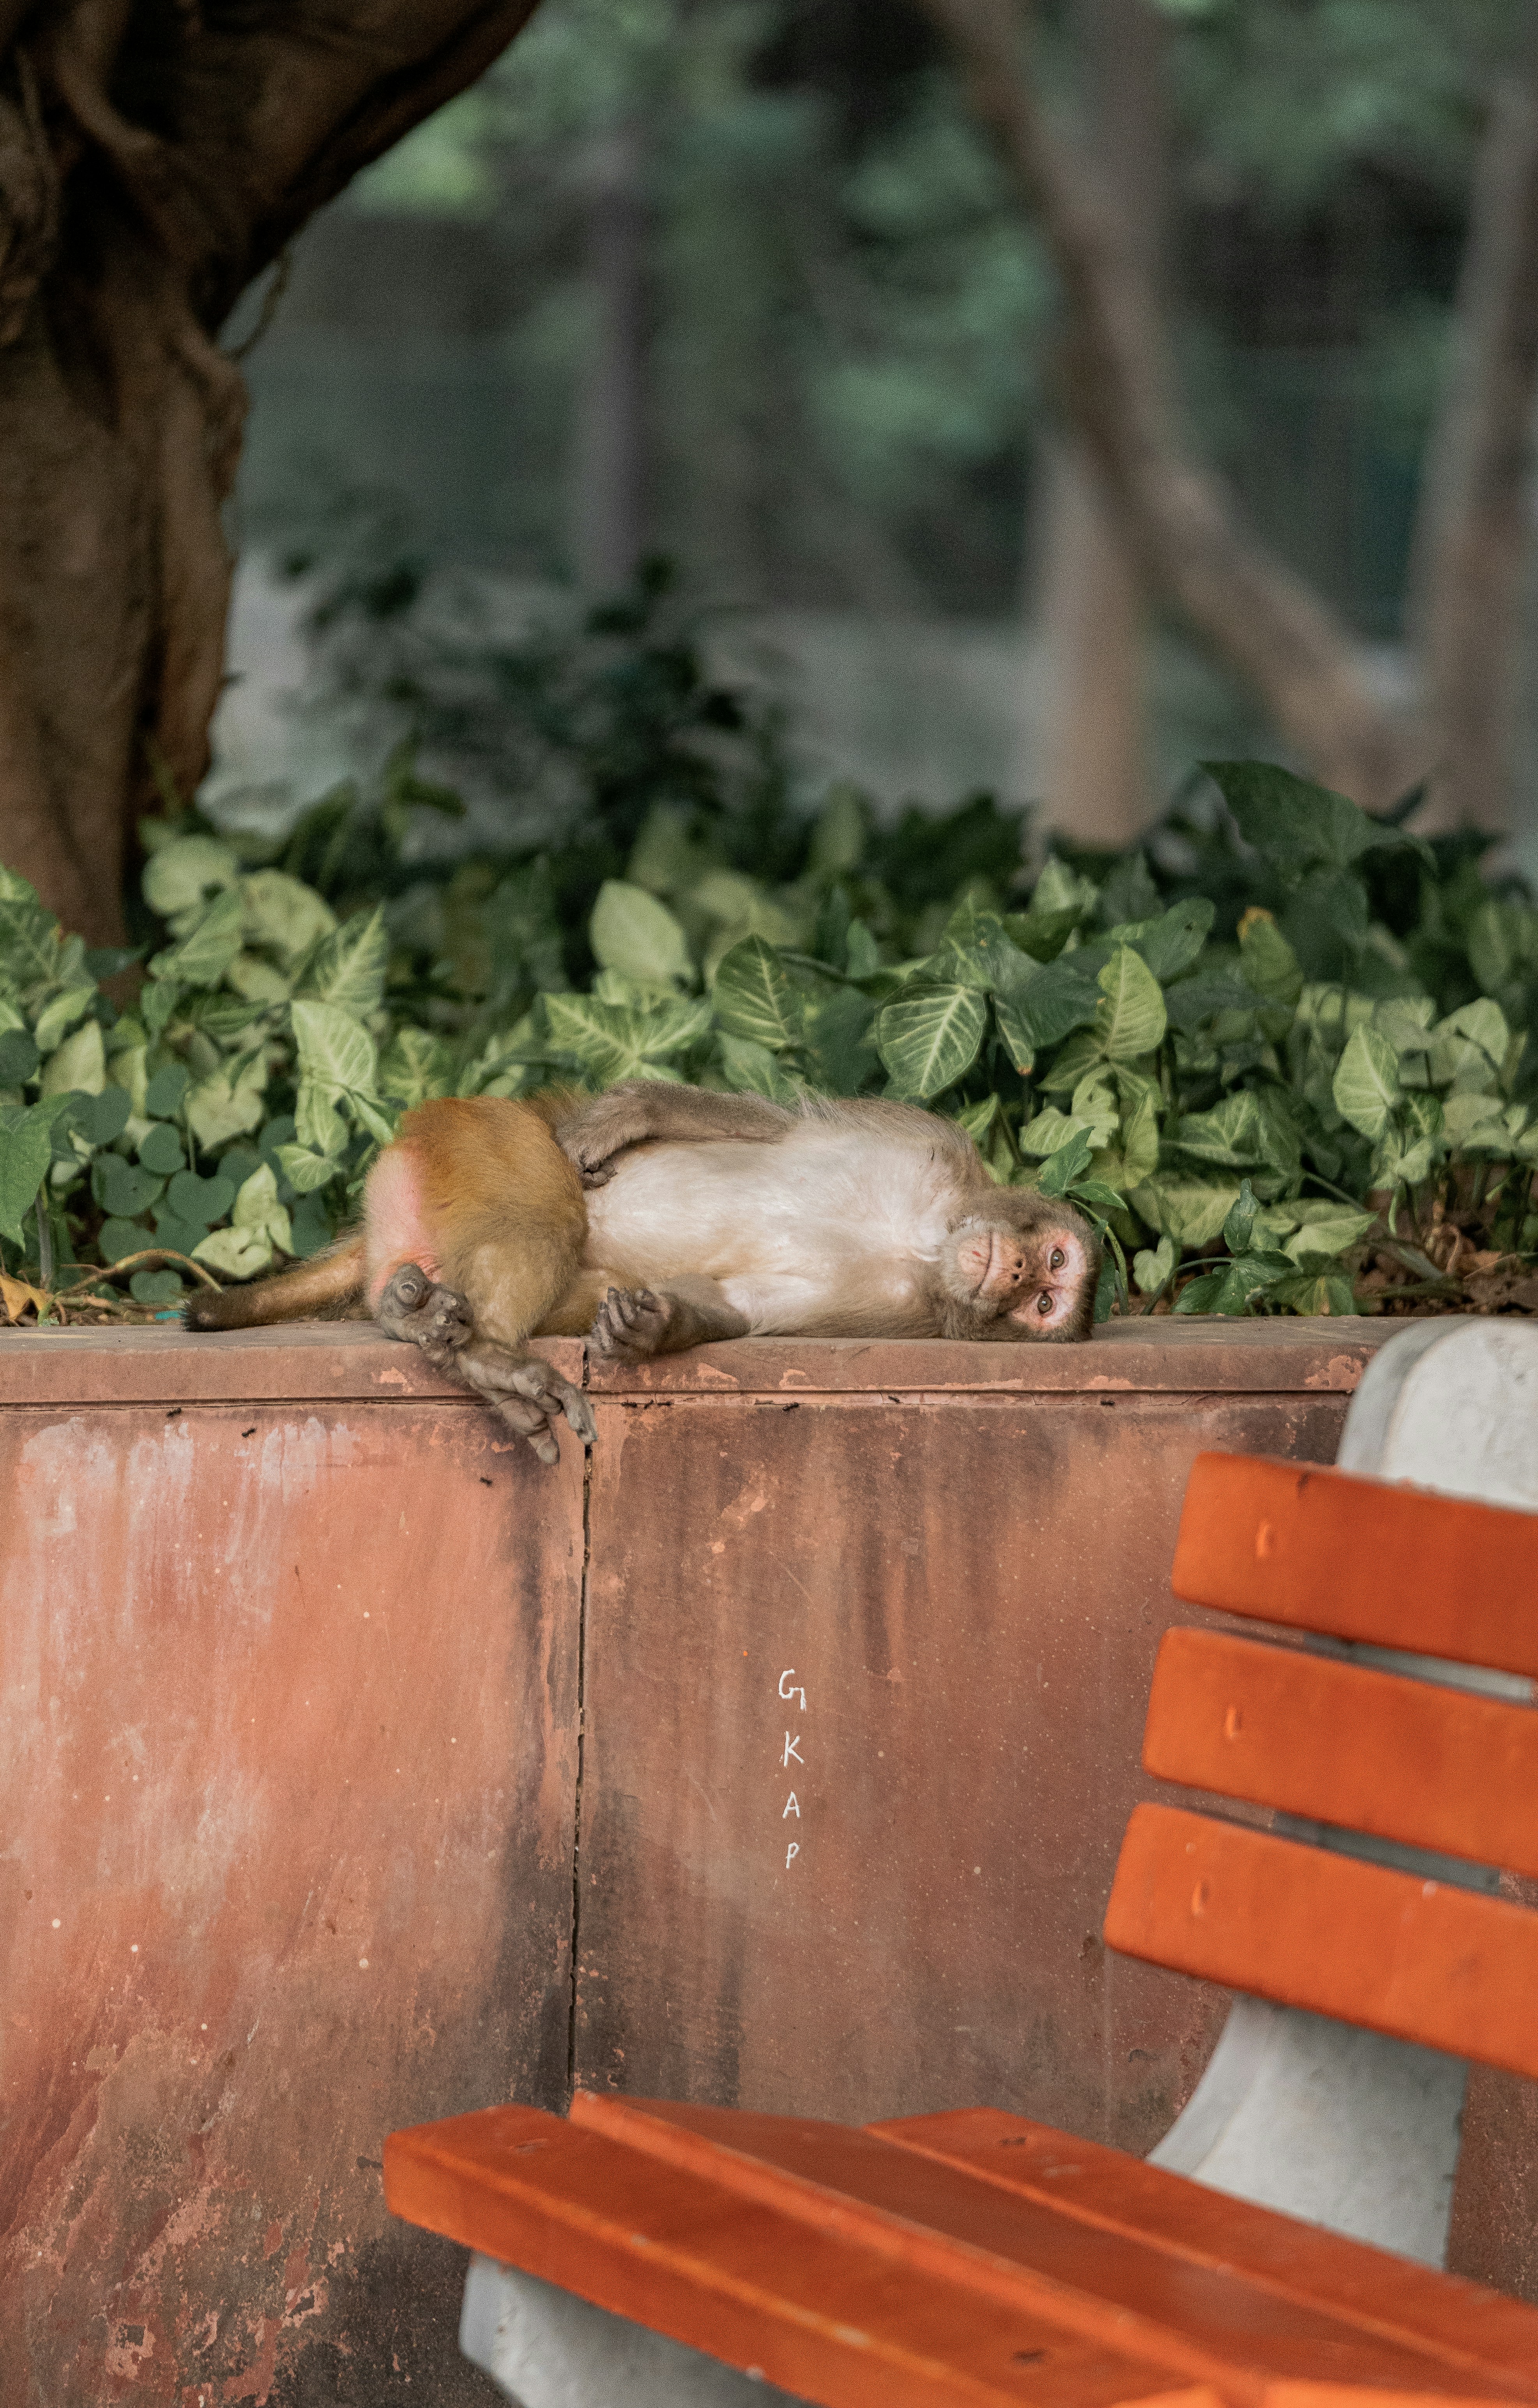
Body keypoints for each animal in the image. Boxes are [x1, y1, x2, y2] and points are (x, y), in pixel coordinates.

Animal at [184, 1082, 1098, 1460]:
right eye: (1053, 1261)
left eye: (1047, 1300)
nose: (1017, 1270)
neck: (924, 1240)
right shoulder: (932, 1139)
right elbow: (771, 1126)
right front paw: (630, 1111)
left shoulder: (900, 1313)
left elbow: (740, 1303)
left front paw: (655, 1326)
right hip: (480, 1132)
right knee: (547, 1206)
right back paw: (485, 1350)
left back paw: (435, 1328)